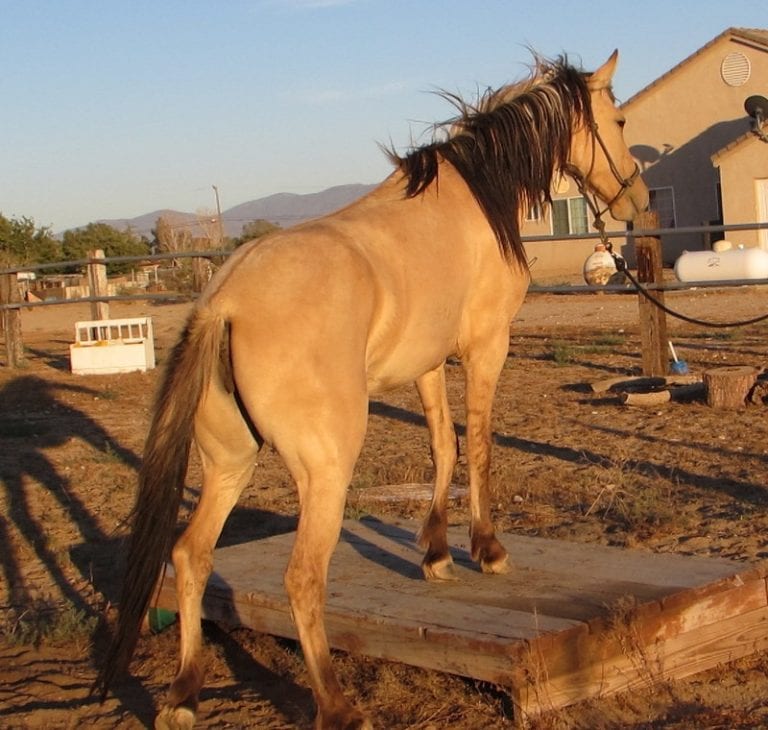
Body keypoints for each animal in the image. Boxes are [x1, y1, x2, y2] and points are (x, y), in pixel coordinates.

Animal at [94, 51, 648, 729]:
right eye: (619, 119)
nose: (637, 195)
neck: (473, 199)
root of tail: (223, 302)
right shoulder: (486, 348)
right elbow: (480, 445)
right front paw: (486, 549)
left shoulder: (428, 363)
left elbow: (443, 447)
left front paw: (435, 554)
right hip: (325, 468)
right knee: (302, 578)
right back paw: (337, 706)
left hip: (230, 462)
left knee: (191, 555)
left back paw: (183, 695)